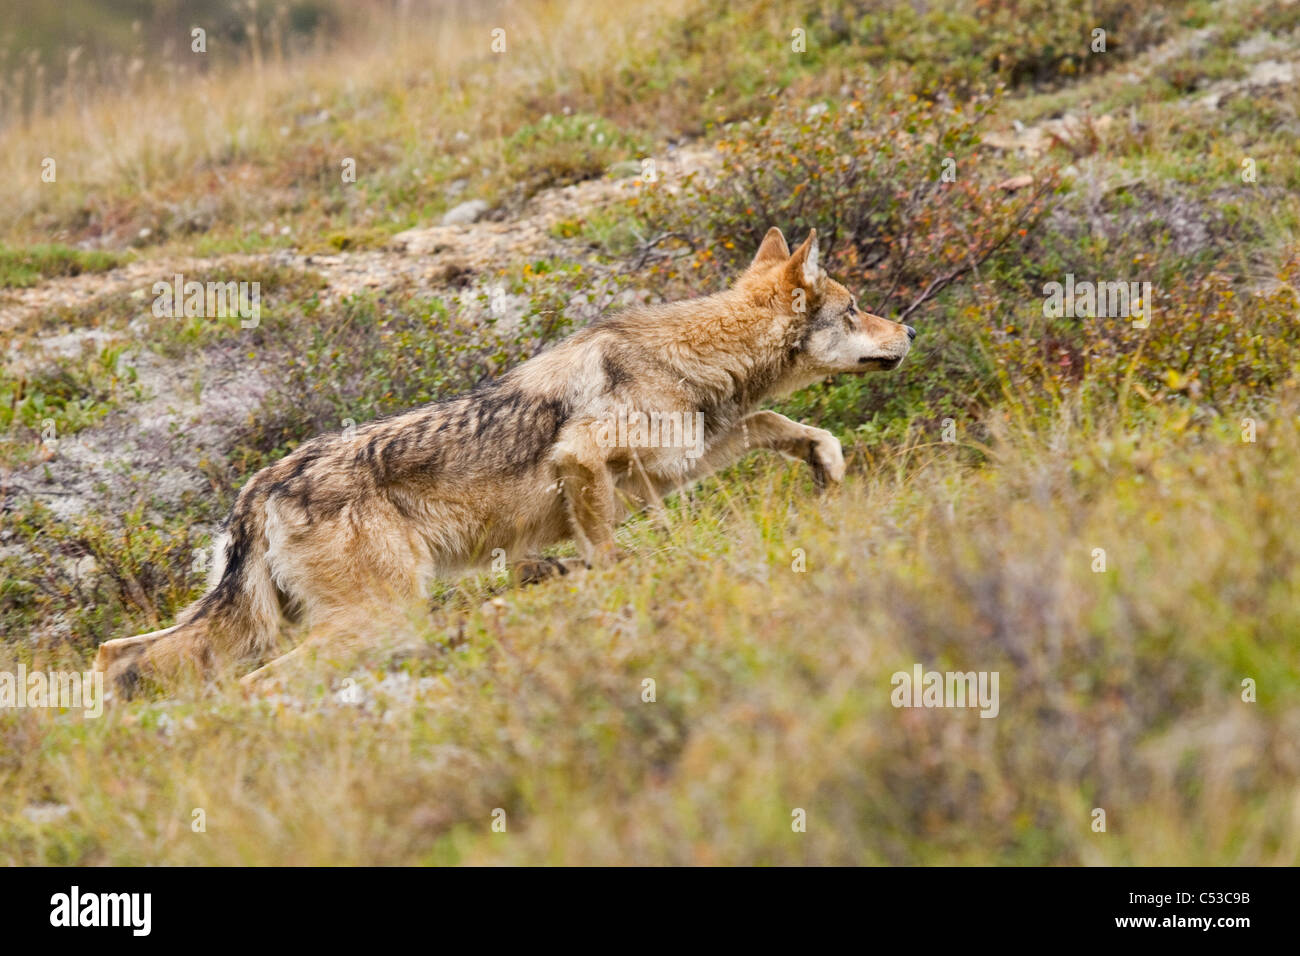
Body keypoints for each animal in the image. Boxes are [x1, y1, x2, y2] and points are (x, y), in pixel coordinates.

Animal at [94, 228, 914, 692]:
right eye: (855, 309)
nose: (908, 329)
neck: (693, 355)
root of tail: (262, 482)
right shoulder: (583, 460)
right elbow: (609, 554)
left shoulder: (683, 458)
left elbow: (780, 422)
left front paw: (825, 464)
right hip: (378, 618)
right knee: (262, 681)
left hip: (263, 624)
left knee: (117, 654)